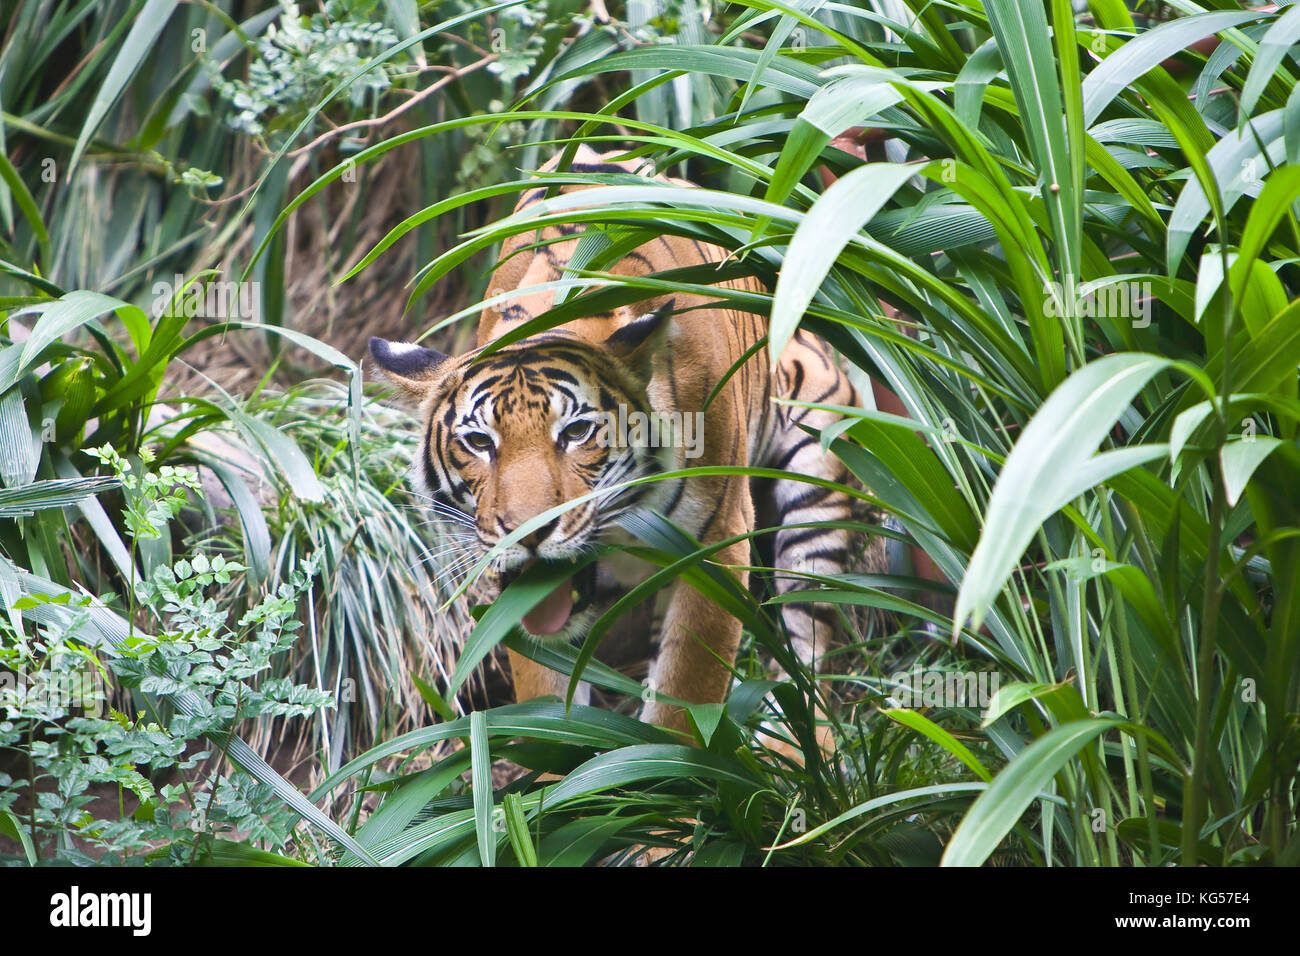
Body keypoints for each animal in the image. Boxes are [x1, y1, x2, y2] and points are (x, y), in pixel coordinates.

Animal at [369, 145, 885, 742]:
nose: (527, 533)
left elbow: (686, 696)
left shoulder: (717, 543)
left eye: (576, 433)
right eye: (479, 442)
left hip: (817, 478)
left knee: (809, 649)